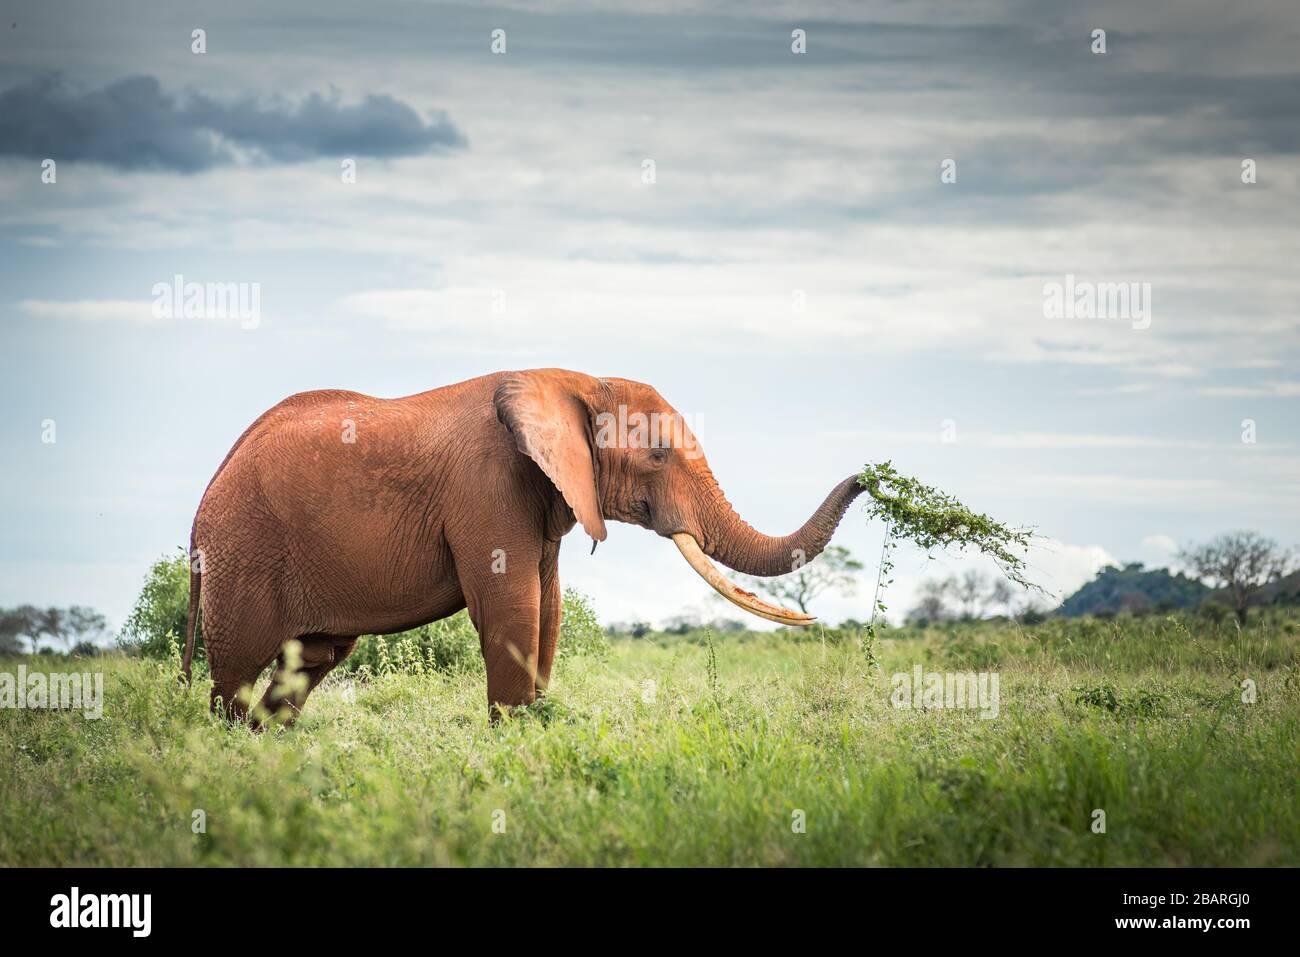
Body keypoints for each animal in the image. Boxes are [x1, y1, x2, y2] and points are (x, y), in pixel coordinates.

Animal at [181, 368, 865, 723]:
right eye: (657, 455)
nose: (869, 477)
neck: (577, 382)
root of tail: (208, 490)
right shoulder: (488, 486)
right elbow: (514, 608)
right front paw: (510, 739)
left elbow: (548, 609)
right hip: (245, 548)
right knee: (237, 670)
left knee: (310, 661)